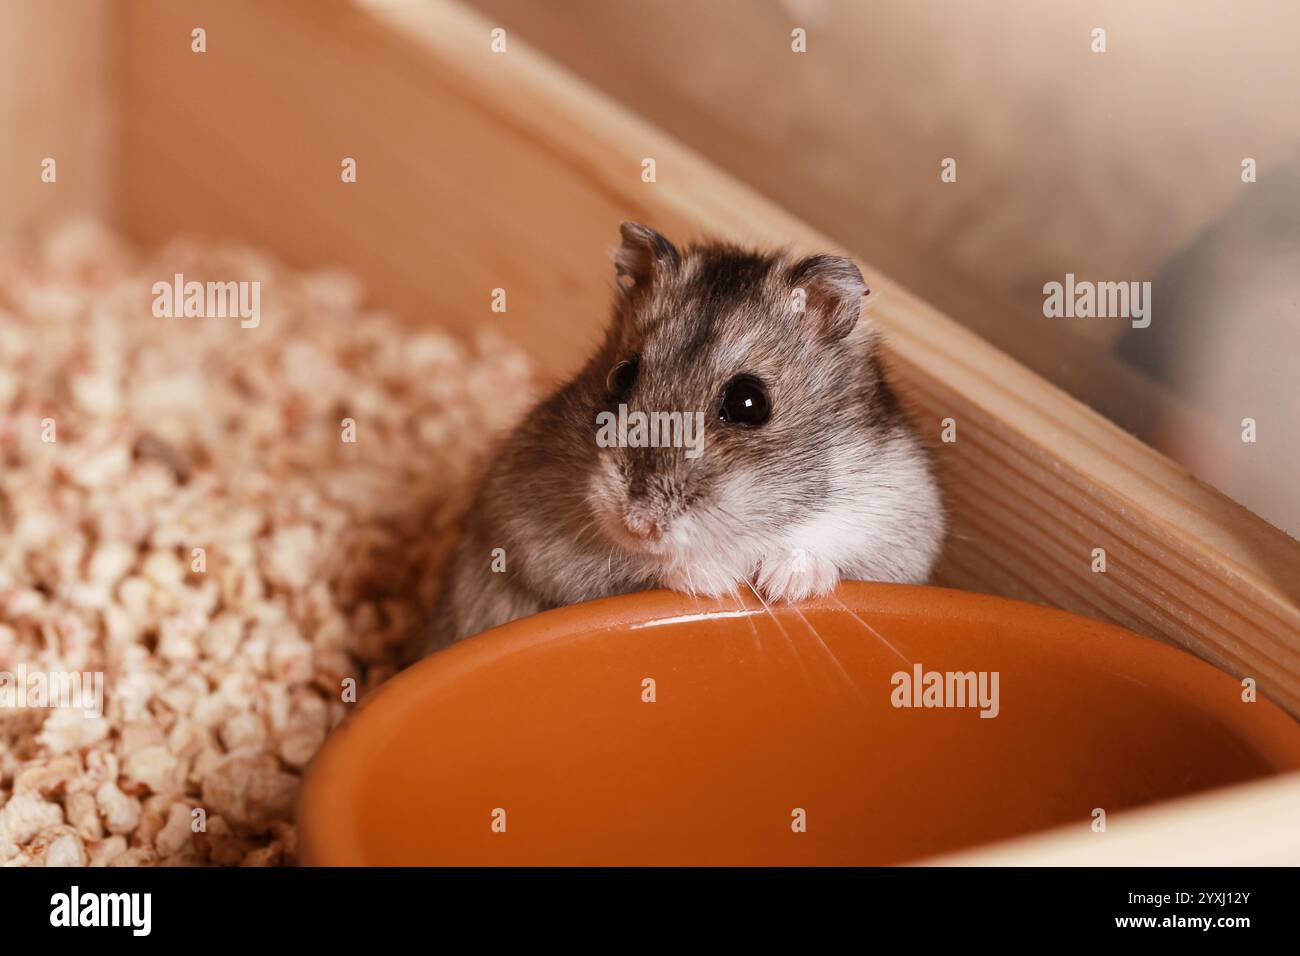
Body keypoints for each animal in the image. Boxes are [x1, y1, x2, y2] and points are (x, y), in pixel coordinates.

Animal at [419, 222, 945, 654]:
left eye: (750, 403)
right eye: (620, 377)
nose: (638, 524)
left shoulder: (901, 526)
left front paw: (783, 584)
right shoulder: (528, 529)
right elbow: (645, 567)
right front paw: (719, 581)